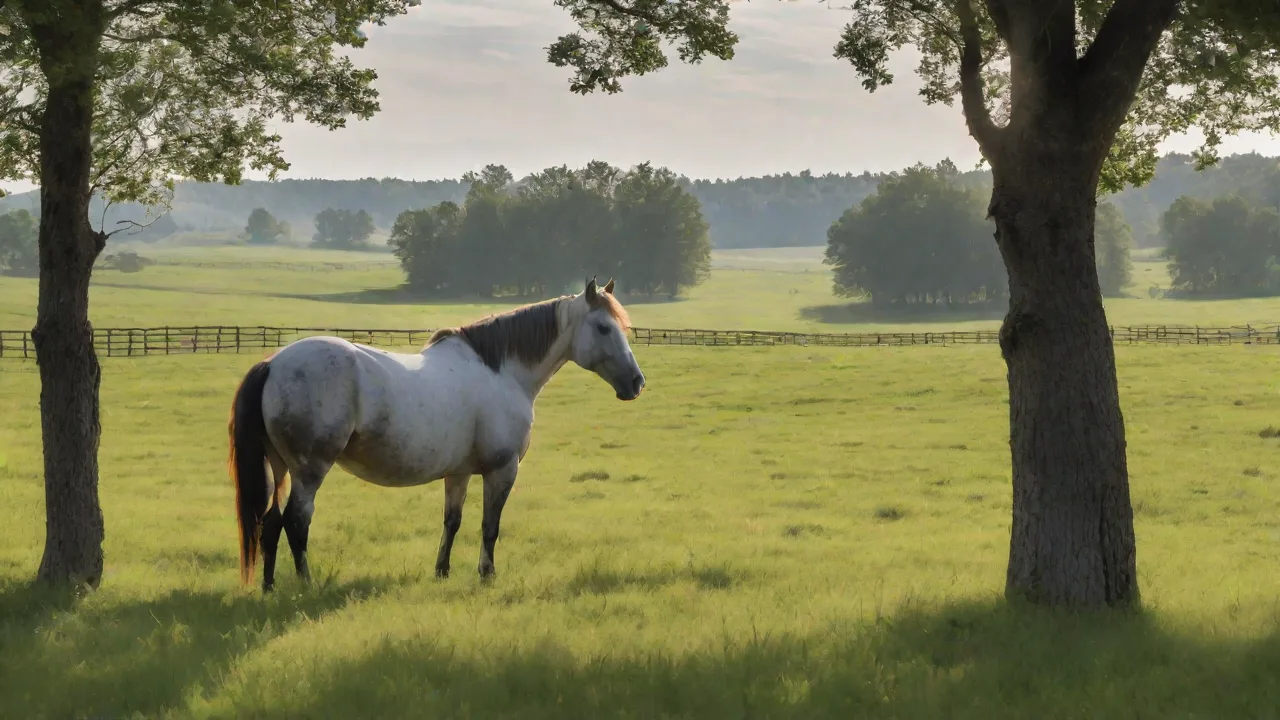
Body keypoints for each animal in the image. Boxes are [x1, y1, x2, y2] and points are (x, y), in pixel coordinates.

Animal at [227, 277, 645, 592]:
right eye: (604, 327)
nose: (636, 382)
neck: (502, 372)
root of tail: (273, 364)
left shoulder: (457, 473)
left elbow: (452, 521)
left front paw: (441, 571)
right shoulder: (502, 469)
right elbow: (489, 526)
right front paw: (487, 574)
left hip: (280, 468)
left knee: (270, 524)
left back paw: (269, 587)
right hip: (310, 470)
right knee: (296, 522)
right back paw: (307, 584)